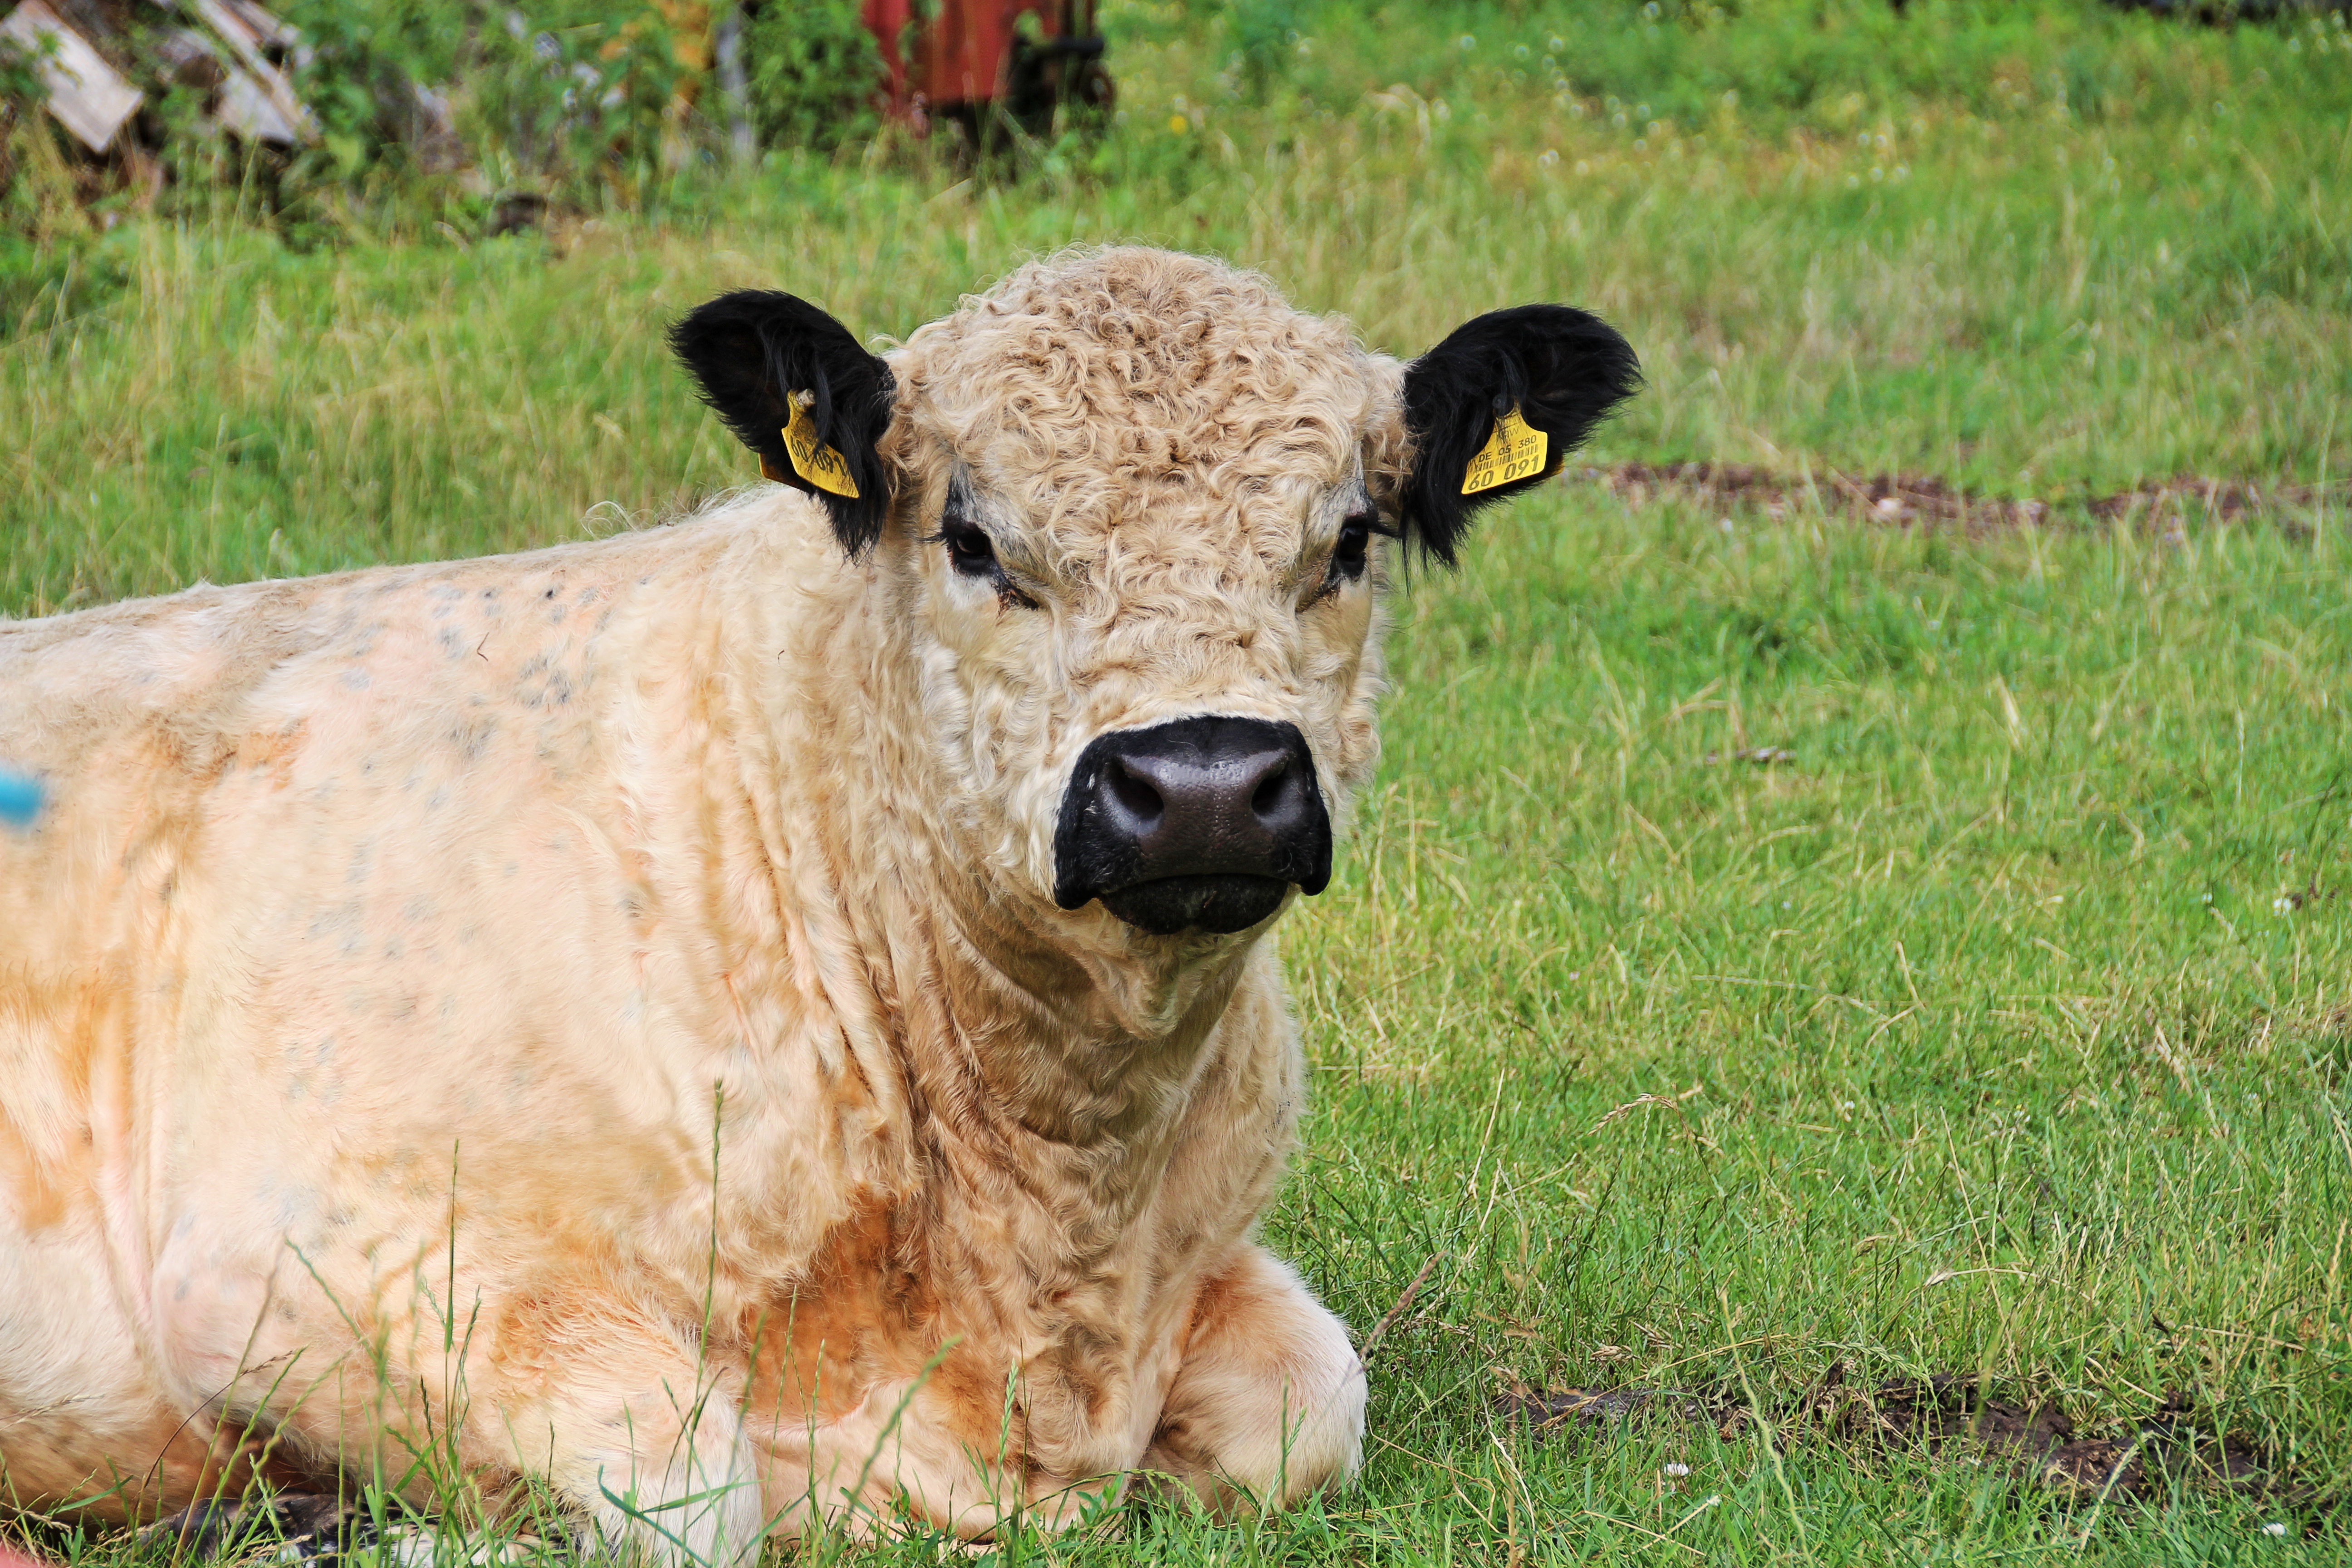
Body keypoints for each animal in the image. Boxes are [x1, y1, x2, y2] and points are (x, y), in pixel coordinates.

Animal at [0, 247, 1636, 1560]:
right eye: (973, 538)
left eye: (1348, 538)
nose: (1206, 782)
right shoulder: (304, 1259)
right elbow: (690, 1490)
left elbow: (1312, 1403)